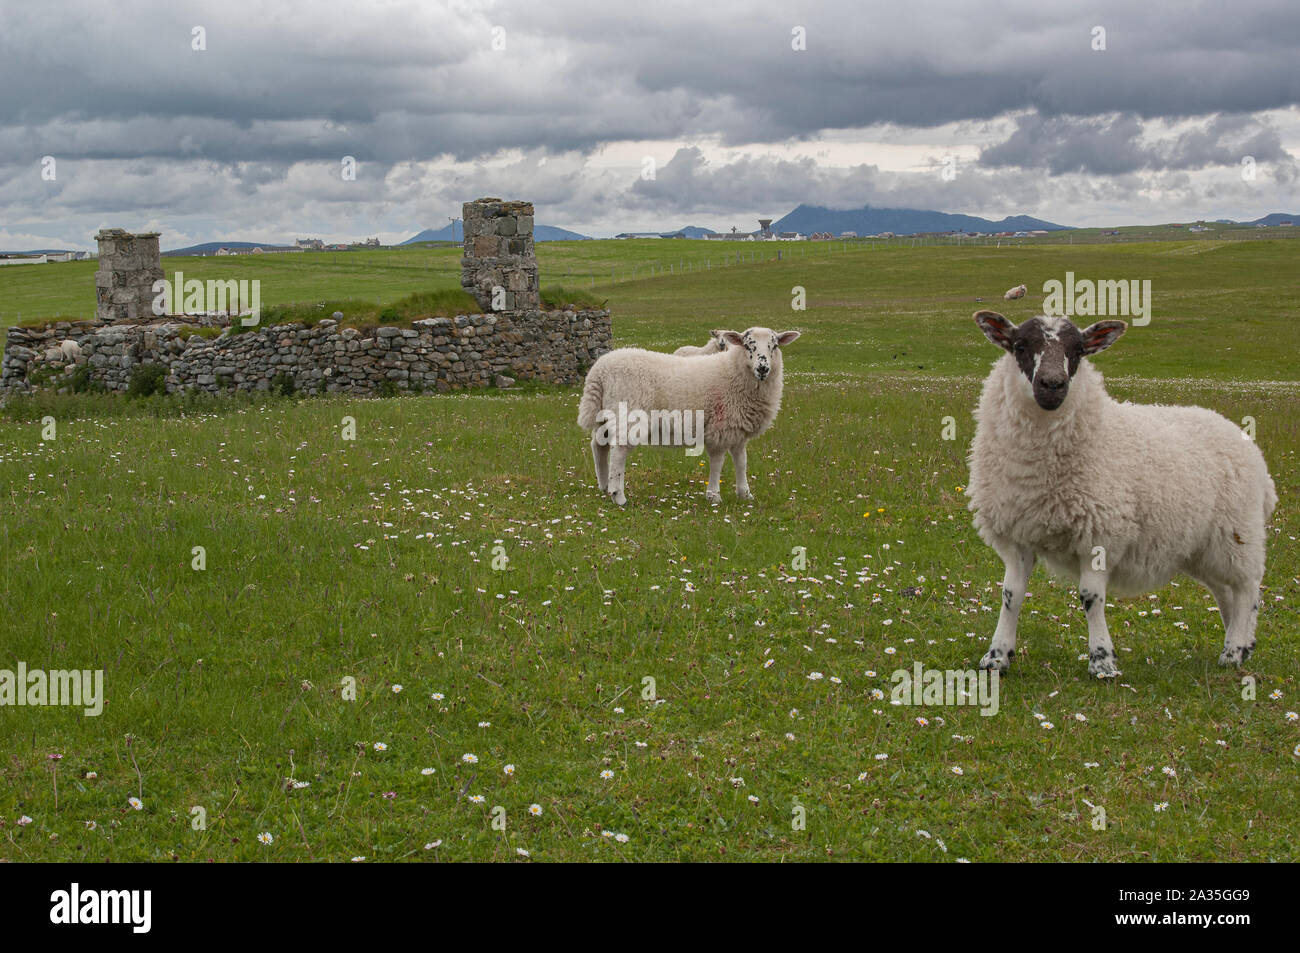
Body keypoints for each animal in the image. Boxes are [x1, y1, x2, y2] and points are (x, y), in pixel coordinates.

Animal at [577, 327, 801, 505]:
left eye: (774, 346)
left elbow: (741, 462)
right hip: (628, 414)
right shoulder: (720, 427)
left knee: (599, 446)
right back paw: (618, 495)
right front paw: (714, 495)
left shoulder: (737, 429)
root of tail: (599, 370)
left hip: (605, 415)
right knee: (618, 452)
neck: (734, 370)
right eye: (747, 346)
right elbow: (718, 462)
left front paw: (745, 494)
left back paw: (604, 486)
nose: (763, 368)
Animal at [966, 310, 1277, 677]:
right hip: (1201, 545)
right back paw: (1240, 645)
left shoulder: (1099, 531)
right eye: (1020, 346)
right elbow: (1011, 595)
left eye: (1078, 351)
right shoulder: (1016, 535)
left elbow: (1090, 597)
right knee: (1225, 592)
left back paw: (1234, 650)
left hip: (1236, 532)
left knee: (1246, 589)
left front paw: (1102, 661)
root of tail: (1255, 455)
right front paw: (997, 656)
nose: (1053, 385)